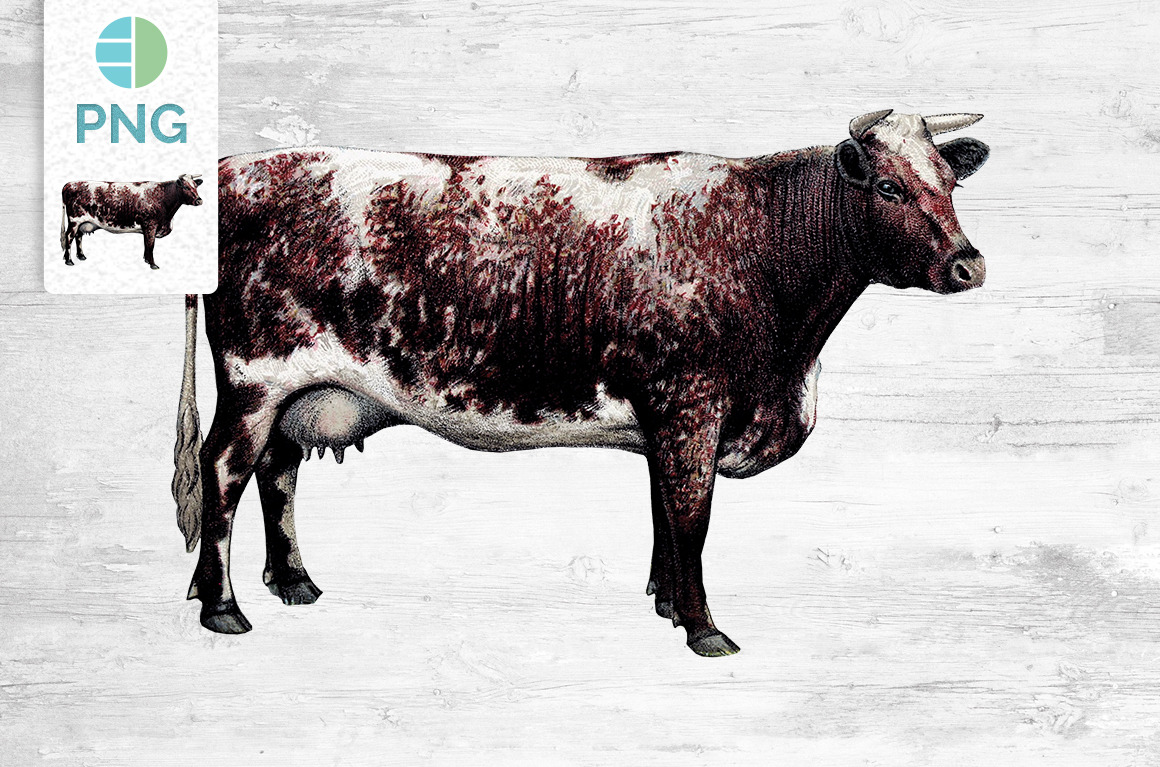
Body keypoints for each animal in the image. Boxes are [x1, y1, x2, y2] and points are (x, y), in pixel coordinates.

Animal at [60, 173, 204, 269]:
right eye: (185, 187)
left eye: (195, 186)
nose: (199, 200)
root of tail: (69, 184)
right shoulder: (150, 225)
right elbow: (150, 245)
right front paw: (153, 264)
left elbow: (146, 245)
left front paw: (146, 260)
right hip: (74, 221)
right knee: (69, 237)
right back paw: (69, 261)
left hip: (82, 223)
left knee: (78, 237)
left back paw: (81, 256)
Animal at [172, 110, 990, 656]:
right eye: (887, 186)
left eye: (949, 180)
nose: (969, 265)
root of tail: (228, 170)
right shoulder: (691, 408)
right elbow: (691, 518)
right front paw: (704, 629)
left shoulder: (667, 422)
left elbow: (664, 514)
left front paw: (667, 605)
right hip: (254, 381)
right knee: (224, 474)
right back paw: (223, 608)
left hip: (298, 393)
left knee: (278, 471)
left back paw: (294, 582)